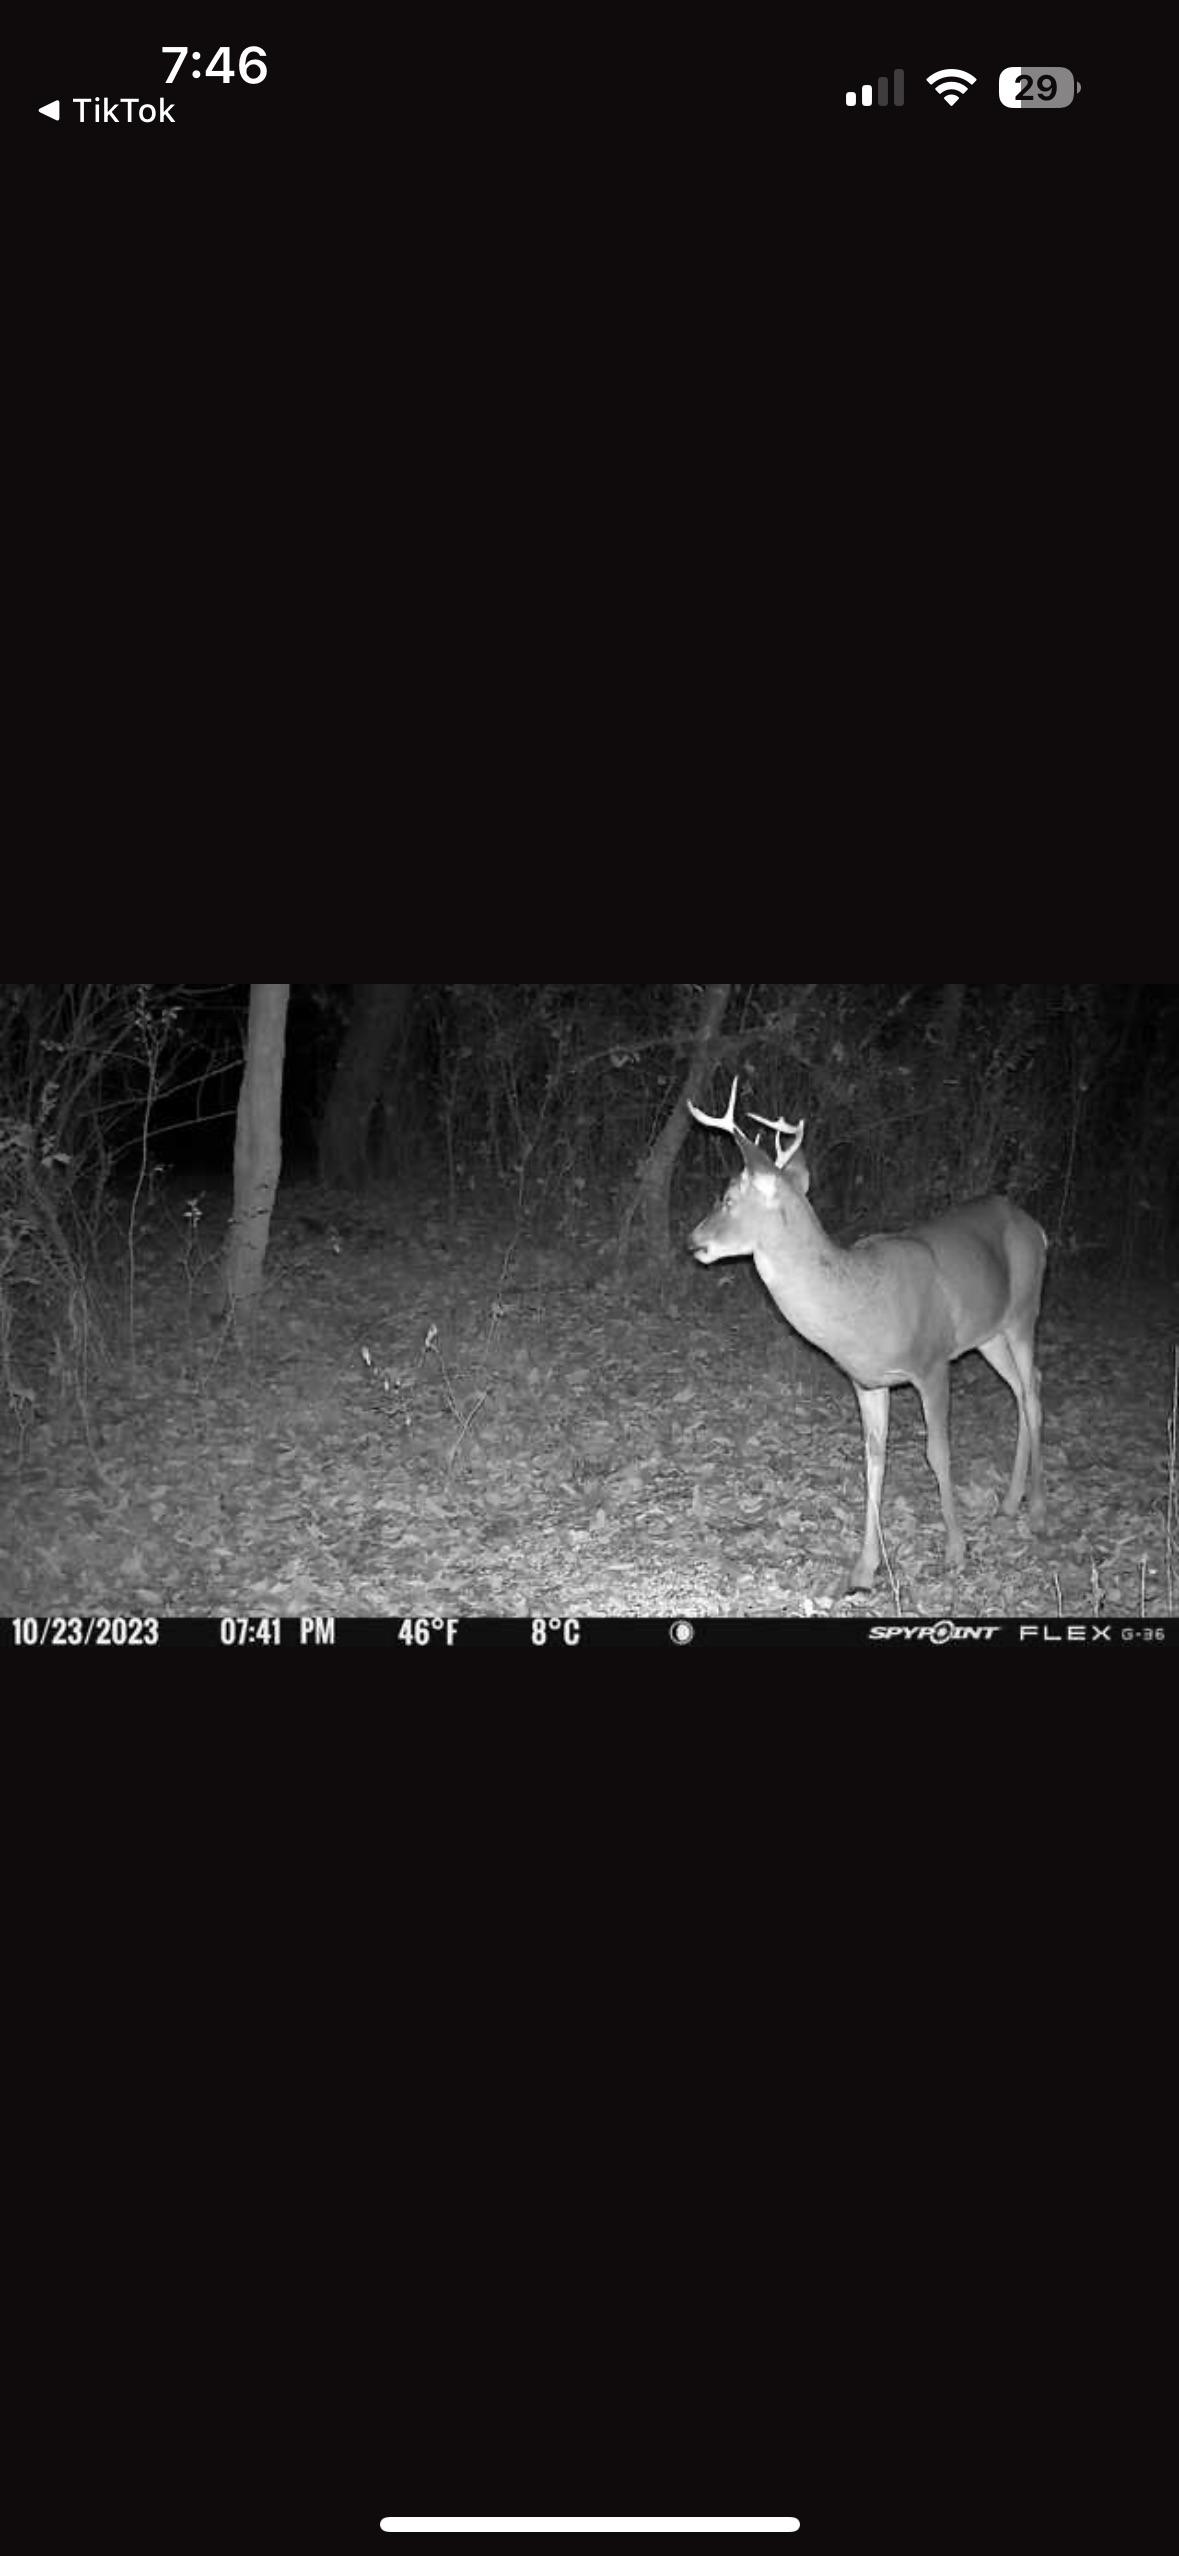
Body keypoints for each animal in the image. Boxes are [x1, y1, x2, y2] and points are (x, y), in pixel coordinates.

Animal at [688, 1079, 1046, 1593]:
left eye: (728, 1198)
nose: (694, 1241)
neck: (861, 1305)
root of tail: (1036, 1228)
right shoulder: (868, 1381)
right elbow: (874, 1461)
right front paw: (863, 1569)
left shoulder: (933, 1363)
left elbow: (937, 1453)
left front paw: (956, 1551)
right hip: (988, 1333)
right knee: (1020, 1387)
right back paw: (1010, 1502)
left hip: (1023, 1312)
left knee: (1033, 1387)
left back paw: (1036, 1511)